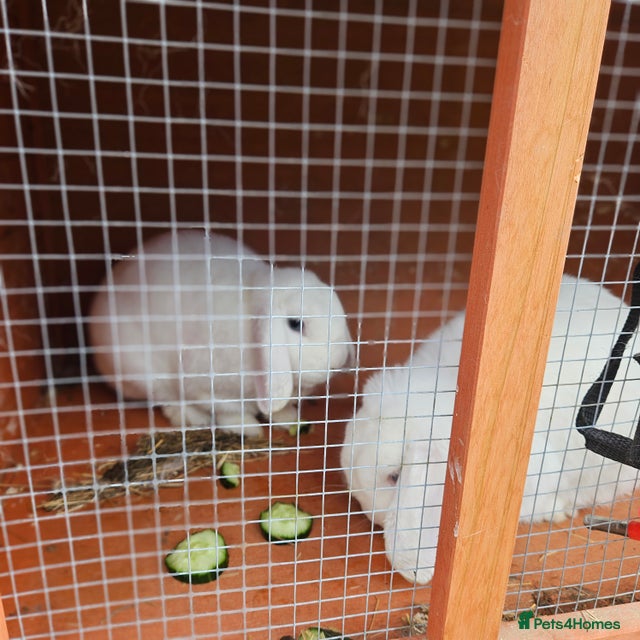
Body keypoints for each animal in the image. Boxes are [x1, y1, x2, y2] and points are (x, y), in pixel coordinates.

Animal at [89, 229, 354, 436]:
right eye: (296, 324)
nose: (339, 361)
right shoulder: (210, 390)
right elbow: (229, 412)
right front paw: (248, 429)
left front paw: (290, 419)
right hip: (139, 371)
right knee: (166, 397)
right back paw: (193, 417)